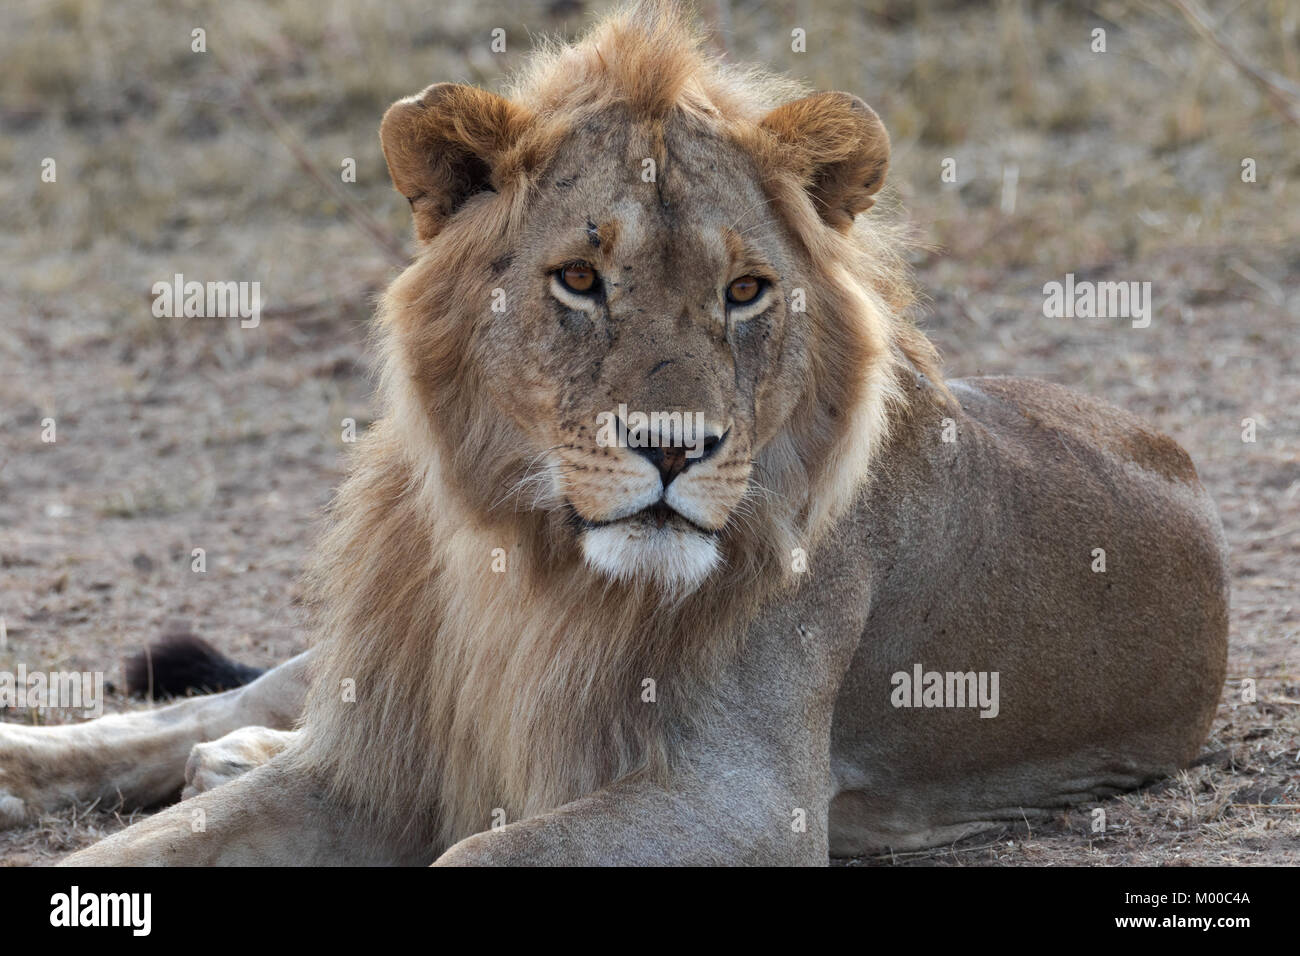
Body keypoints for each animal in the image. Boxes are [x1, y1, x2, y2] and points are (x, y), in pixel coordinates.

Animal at [0, 0, 1227, 865]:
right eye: (581, 281)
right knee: (232, 700)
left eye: (745, 291)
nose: (675, 447)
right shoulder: (374, 749)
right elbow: (142, 848)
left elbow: (476, 850)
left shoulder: (745, 802)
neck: (535, 564)